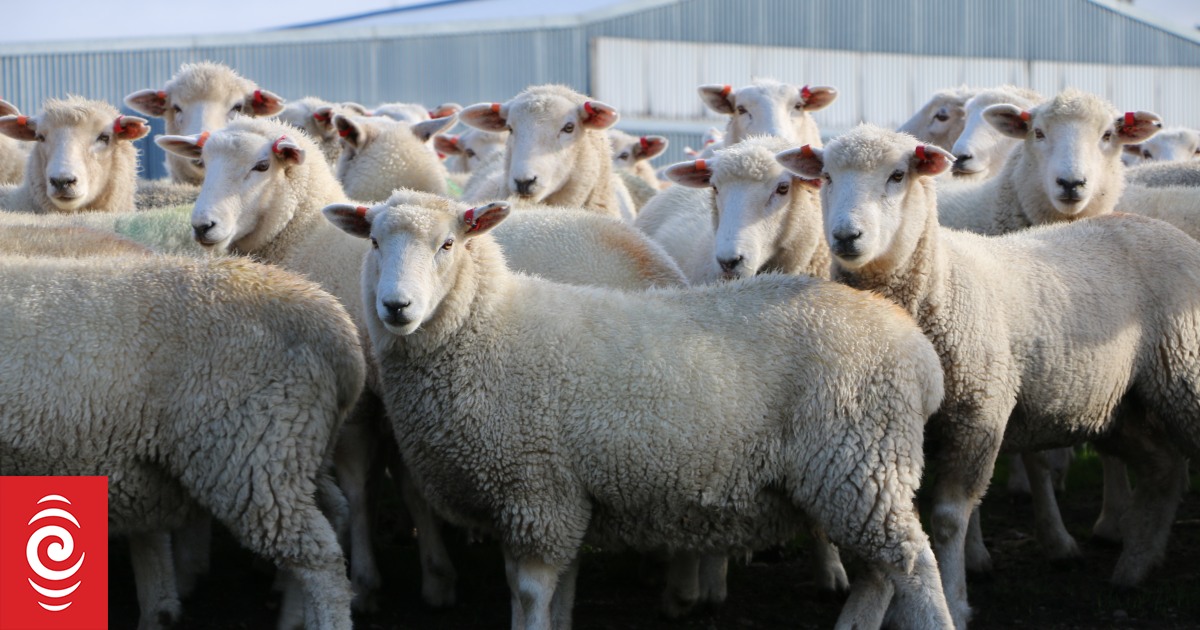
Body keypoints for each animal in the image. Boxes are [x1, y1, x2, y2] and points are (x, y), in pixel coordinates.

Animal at [0, 252, 364, 630]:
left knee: (320, 562)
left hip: (254, 454)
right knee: (331, 517)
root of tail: (334, 325)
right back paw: (294, 616)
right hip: (297, 450)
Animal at [323, 190, 955, 630]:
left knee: (913, 567)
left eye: (448, 245)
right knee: (878, 576)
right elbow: (559, 595)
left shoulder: (534, 491)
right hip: (855, 476)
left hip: (860, 464)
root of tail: (918, 353)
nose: (396, 306)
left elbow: (528, 595)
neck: (485, 328)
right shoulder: (564, 498)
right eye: (374, 242)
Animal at [778, 125, 1200, 628]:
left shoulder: (978, 416)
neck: (941, 282)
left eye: (898, 175)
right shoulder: (888, 435)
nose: (846, 236)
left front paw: (955, 601)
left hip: (1184, 375)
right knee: (1164, 467)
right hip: (1116, 405)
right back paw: (1135, 566)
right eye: (825, 175)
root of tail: (1161, 227)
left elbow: (947, 519)